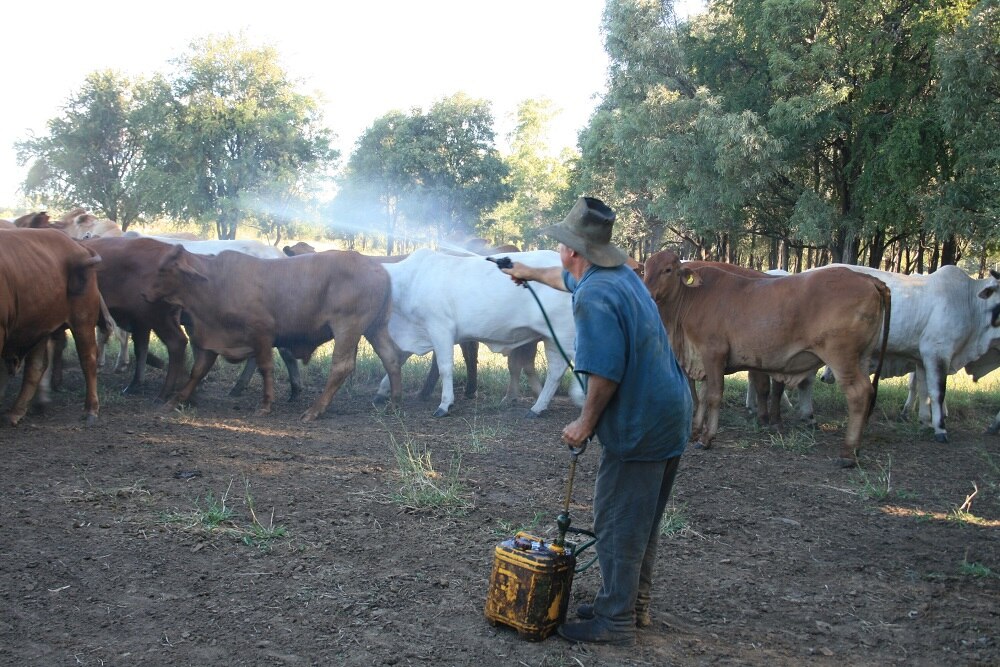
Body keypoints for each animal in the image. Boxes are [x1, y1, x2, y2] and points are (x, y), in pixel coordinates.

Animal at [0, 228, 104, 425]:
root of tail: (79, 245)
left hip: (83, 321)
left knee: (88, 360)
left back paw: (91, 410)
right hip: (39, 325)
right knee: (36, 368)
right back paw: (16, 412)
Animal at [142, 246, 403, 420]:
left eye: (164, 270)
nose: (145, 294)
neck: (215, 282)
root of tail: (378, 268)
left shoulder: (262, 333)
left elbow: (265, 367)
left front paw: (266, 404)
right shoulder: (212, 339)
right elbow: (198, 370)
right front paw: (174, 400)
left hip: (348, 327)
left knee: (342, 366)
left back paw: (315, 410)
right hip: (375, 328)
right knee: (391, 359)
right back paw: (393, 403)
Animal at [373, 248, 579, 417]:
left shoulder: (440, 328)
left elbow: (445, 367)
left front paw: (445, 404)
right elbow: (397, 360)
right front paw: (382, 391)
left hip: (565, 334)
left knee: (566, 368)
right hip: (552, 338)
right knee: (556, 370)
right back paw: (539, 407)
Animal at [643, 250, 891, 467]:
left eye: (667, 269)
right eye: (645, 268)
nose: (647, 292)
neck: (692, 299)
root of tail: (867, 278)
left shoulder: (713, 353)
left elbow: (713, 396)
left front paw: (706, 438)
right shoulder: (703, 360)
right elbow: (703, 397)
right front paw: (695, 431)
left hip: (842, 357)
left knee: (858, 394)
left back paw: (848, 452)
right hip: (862, 356)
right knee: (867, 392)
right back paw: (856, 448)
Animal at [810, 264, 1000, 443]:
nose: (825, 377)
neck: (969, 303)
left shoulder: (922, 359)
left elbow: (923, 390)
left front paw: (925, 422)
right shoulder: (937, 352)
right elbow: (937, 392)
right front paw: (940, 429)